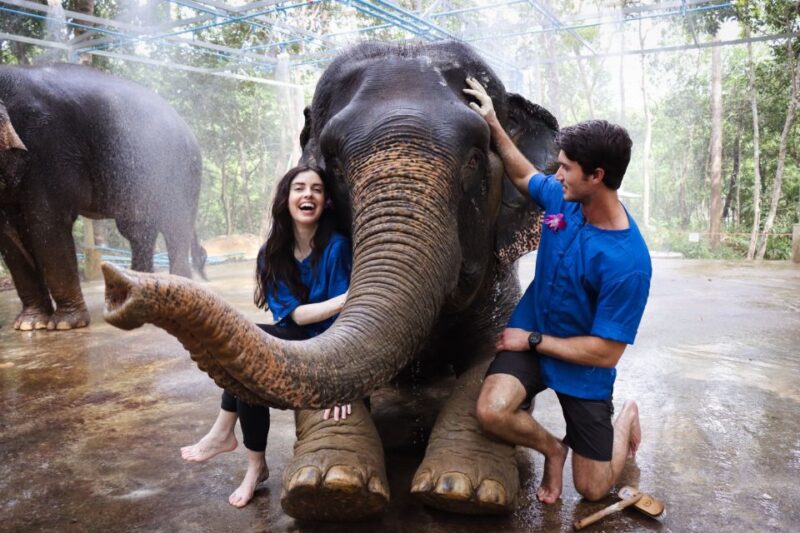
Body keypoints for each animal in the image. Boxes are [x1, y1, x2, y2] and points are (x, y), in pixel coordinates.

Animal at [0, 63, 206, 331]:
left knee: (174, 226)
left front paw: (65, 325)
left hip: (180, 170)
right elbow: (9, 237)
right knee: (137, 229)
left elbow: (47, 223)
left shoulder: (48, 146)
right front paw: (29, 325)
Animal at [101, 41, 558, 520]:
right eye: (335, 163)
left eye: (474, 158)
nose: (118, 288)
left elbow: (494, 363)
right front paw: (328, 490)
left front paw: (462, 491)